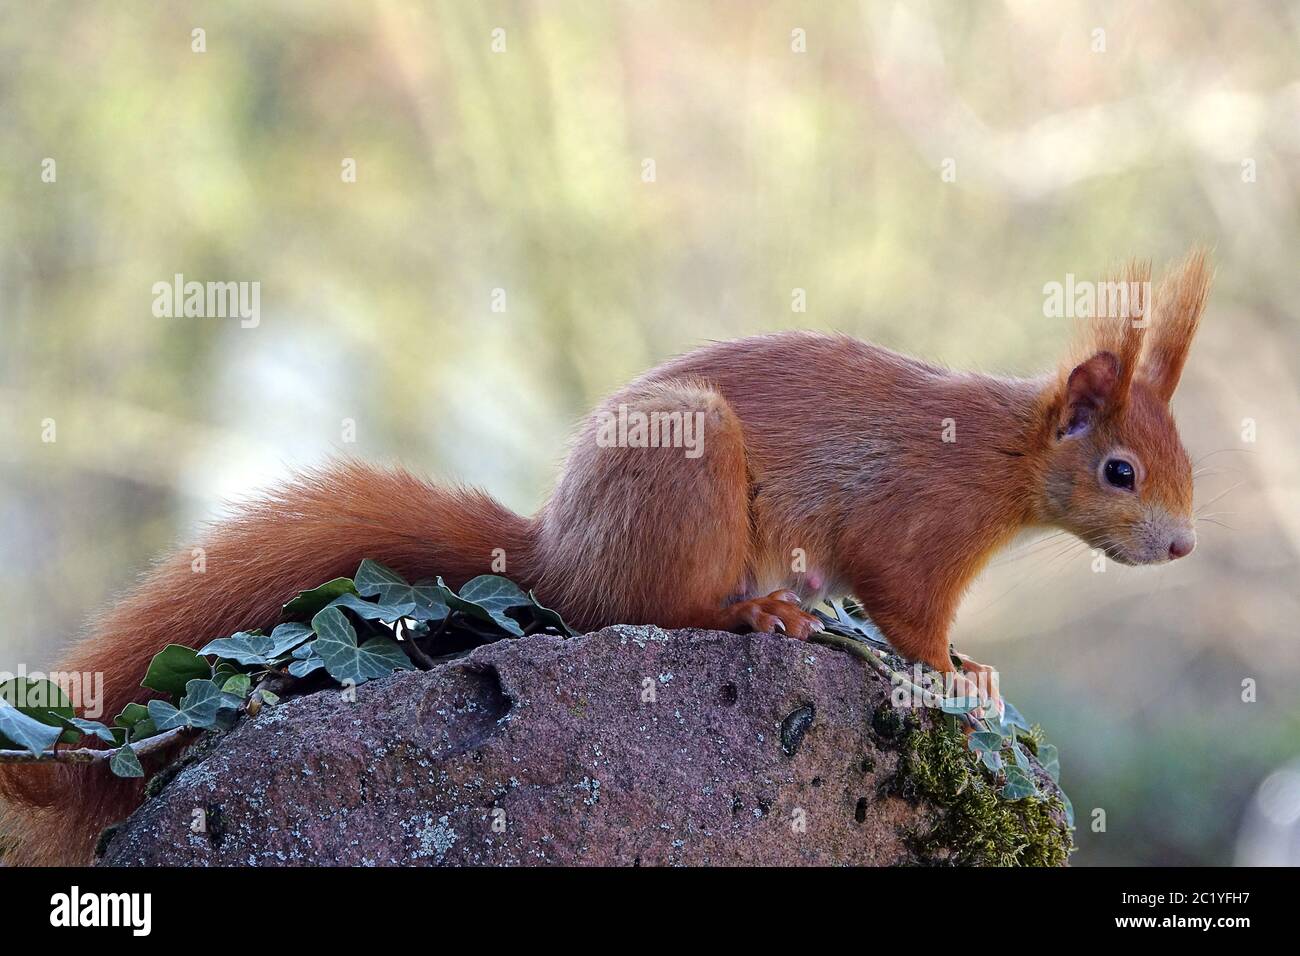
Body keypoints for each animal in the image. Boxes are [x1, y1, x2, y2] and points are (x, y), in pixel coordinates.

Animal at [0, 250, 1210, 865]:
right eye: (1120, 472)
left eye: (1182, 459)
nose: (1185, 543)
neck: (1006, 459)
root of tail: (554, 550)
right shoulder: (914, 527)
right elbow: (906, 610)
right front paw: (959, 673)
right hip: (685, 475)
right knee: (650, 609)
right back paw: (755, 617)